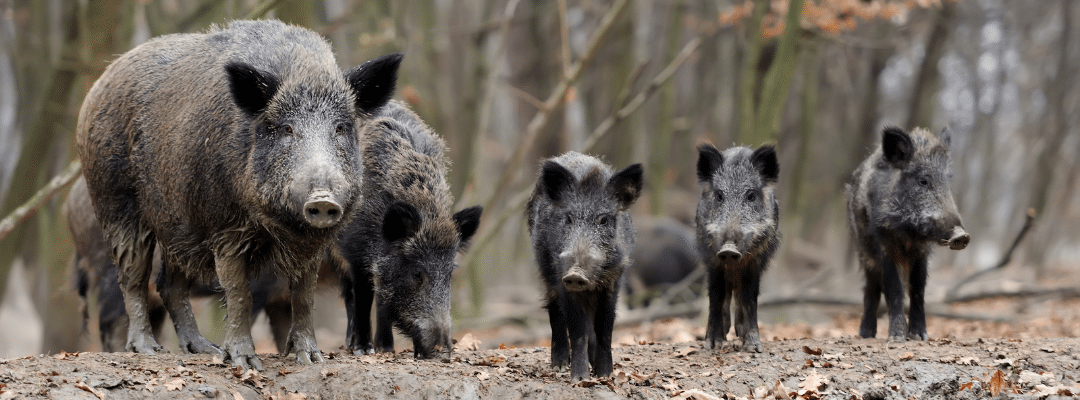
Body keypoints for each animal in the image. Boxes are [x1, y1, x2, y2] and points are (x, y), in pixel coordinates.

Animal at [75, 19, 401, 369]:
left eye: (340, 128)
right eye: (286, 129)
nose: (322, 199)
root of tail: (100, 82)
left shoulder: (312, 243)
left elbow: (303, 295)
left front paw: (311, 359)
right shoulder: (225, 228)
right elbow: (238, 292)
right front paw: (245, 362)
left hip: (178, 224)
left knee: (170, 284)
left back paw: (204, 349)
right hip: (115, 202)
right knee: (133, 276)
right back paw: (148, 349)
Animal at [336, 100, 482, 359]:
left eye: (450, 274)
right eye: (417, 274)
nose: (442, 350)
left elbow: (382, 300)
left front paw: (388, 349)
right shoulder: (355, 252)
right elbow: (364, 297)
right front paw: (364, 350)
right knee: (350, 294)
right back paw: (353, 345)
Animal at [526, 152, 643, 381]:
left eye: (604, 220)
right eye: (569, 218)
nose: (575, 274)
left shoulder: (614, 281)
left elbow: (605, 329)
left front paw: (604, 375)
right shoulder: (562, 279)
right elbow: (578, 330)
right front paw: (580, 379)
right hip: (546, 271)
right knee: (555, 311)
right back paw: (559, 366)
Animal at [695, 143, 779, 353]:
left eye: (751, 196)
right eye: (719, 195)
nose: (728, 249)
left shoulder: (755, 261)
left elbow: (750, 298)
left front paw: (754, 347)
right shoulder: (712, 260)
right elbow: (716, 296)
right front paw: (712, 345)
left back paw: (739, 332)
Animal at [847, 126, 970, 341]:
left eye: (948, 181)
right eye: (923, 181)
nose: (961, 235)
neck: (908, 233)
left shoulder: (921, 252)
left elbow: (918, 289)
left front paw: (920, 336)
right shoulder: (885, 244)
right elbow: (894, 289)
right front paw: (897, 338)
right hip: (863, 251)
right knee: (872, 287)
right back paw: (866, 334)